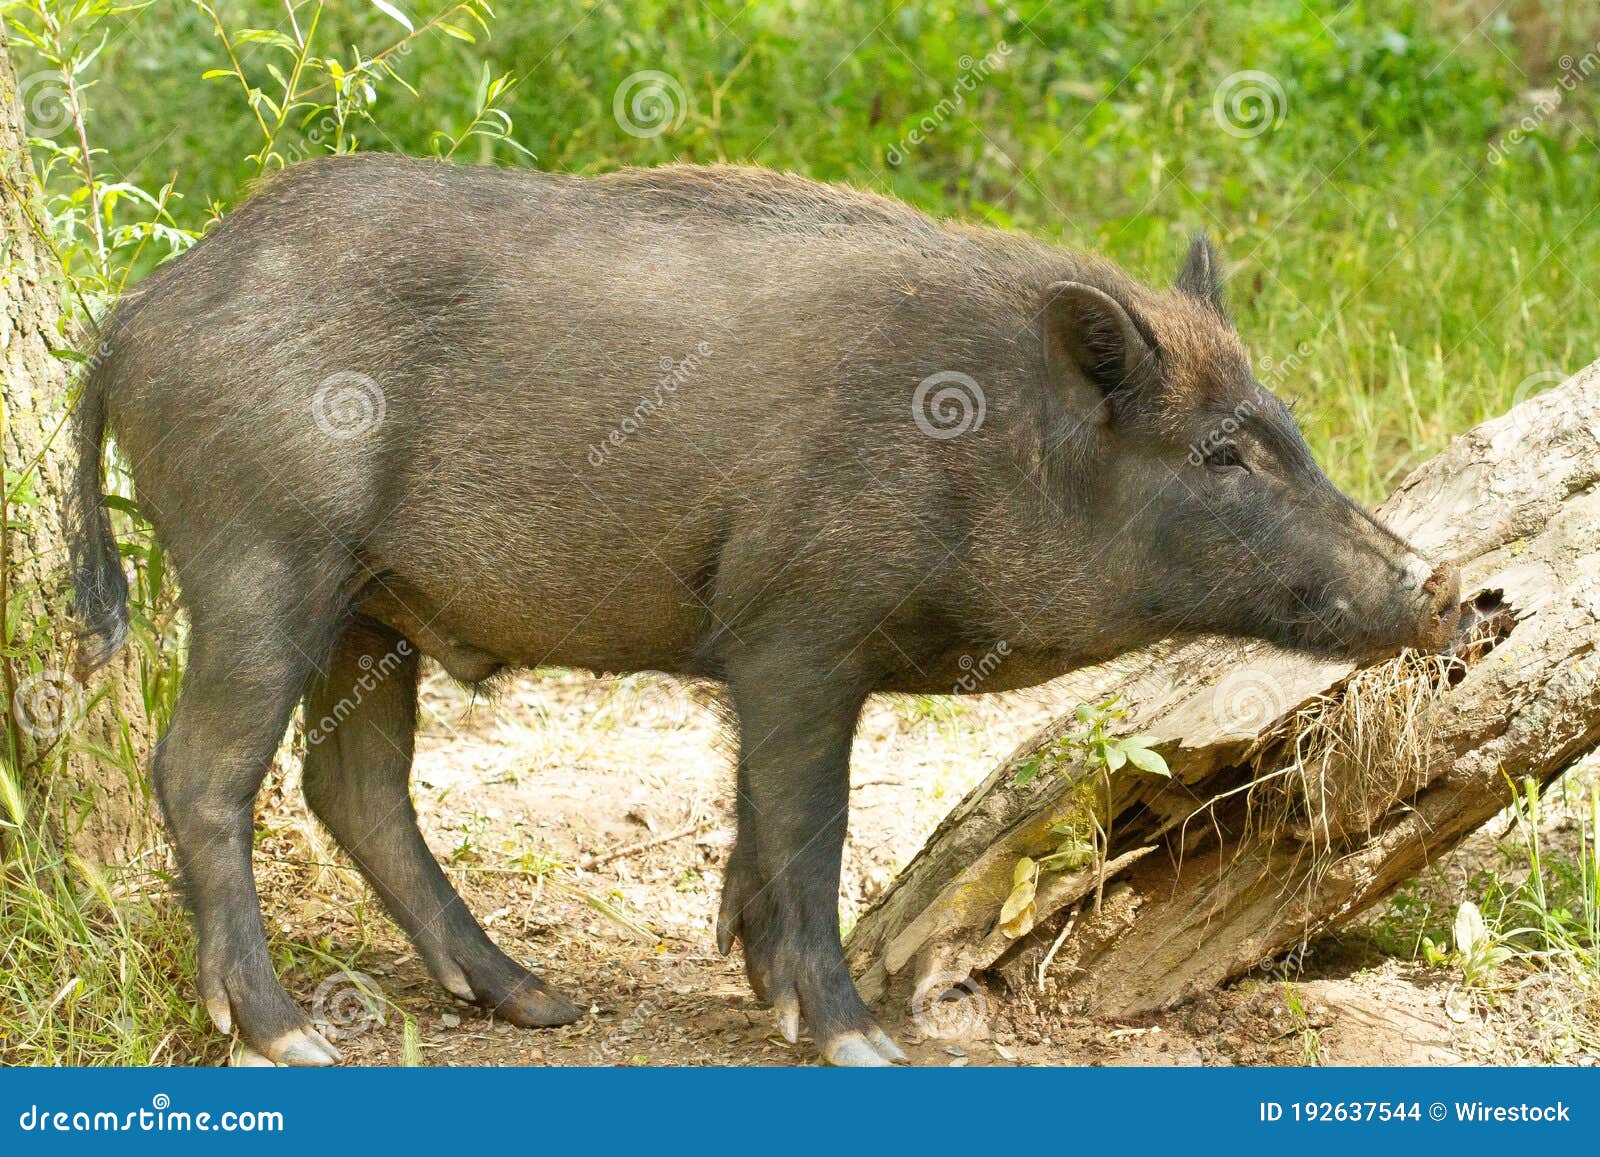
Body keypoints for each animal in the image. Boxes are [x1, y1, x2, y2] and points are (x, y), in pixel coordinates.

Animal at [69, 156, 1461, 1066]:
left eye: (1285, 424)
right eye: (1222, 453)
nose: (1442, 585)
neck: (994, 445)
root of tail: (132, 314)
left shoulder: (774, 653)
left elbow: (756, 821)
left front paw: (758, 990)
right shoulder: (799, 629)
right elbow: (806, 821)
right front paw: (856, 1042)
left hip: (372, 610)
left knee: (352, 785)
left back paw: (536, 1004)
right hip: (263, 556)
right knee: (200, 767)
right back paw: (291, 1037)